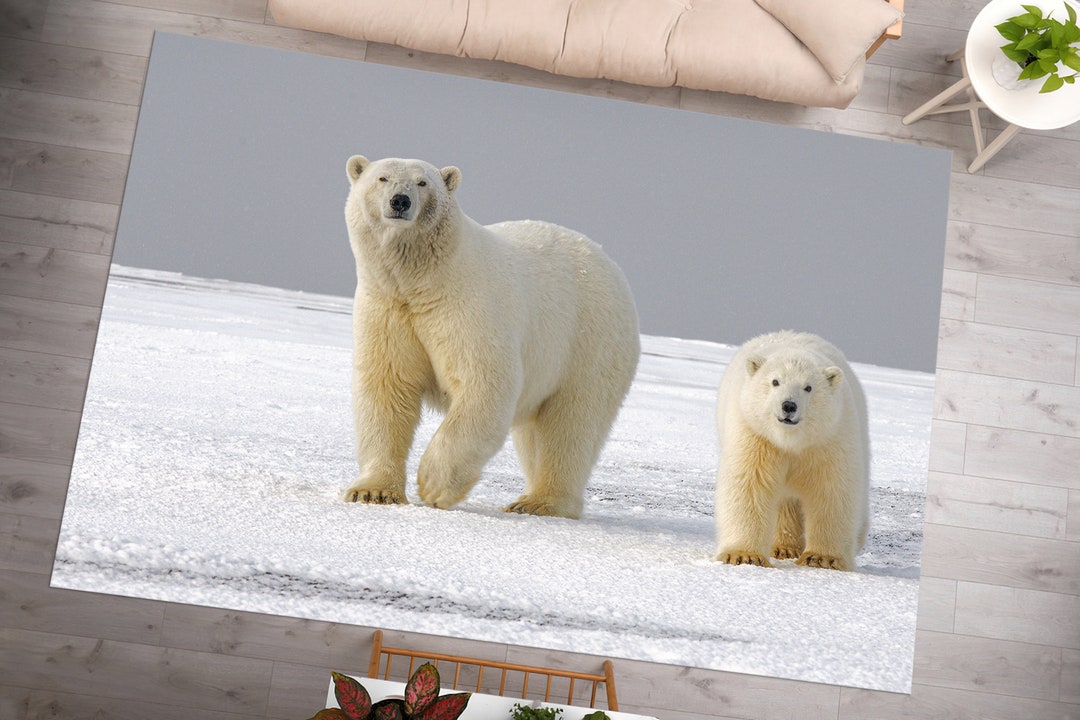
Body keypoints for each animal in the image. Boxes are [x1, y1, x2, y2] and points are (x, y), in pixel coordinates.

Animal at [341, 155, 640, 519]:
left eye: (423, 182)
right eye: (382, 178)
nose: (400, 201)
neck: (422, 281)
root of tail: (609, 263)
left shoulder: (467, 306)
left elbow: (484, 383)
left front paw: (433, 484)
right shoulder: (387, 308)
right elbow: (387, 388)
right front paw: (372, 491)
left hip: (589, 340)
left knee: (571, 423)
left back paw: (541, 502)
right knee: (534, 433)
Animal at [713, 330, 870, 571]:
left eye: (808, 387)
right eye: (775, 381)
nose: (788, 405)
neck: (791, 441)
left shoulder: (829, 438)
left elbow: (831, 490)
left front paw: (822, 558)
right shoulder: (756, 435)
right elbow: (749, 485)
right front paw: (743, 555)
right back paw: (783, 548)